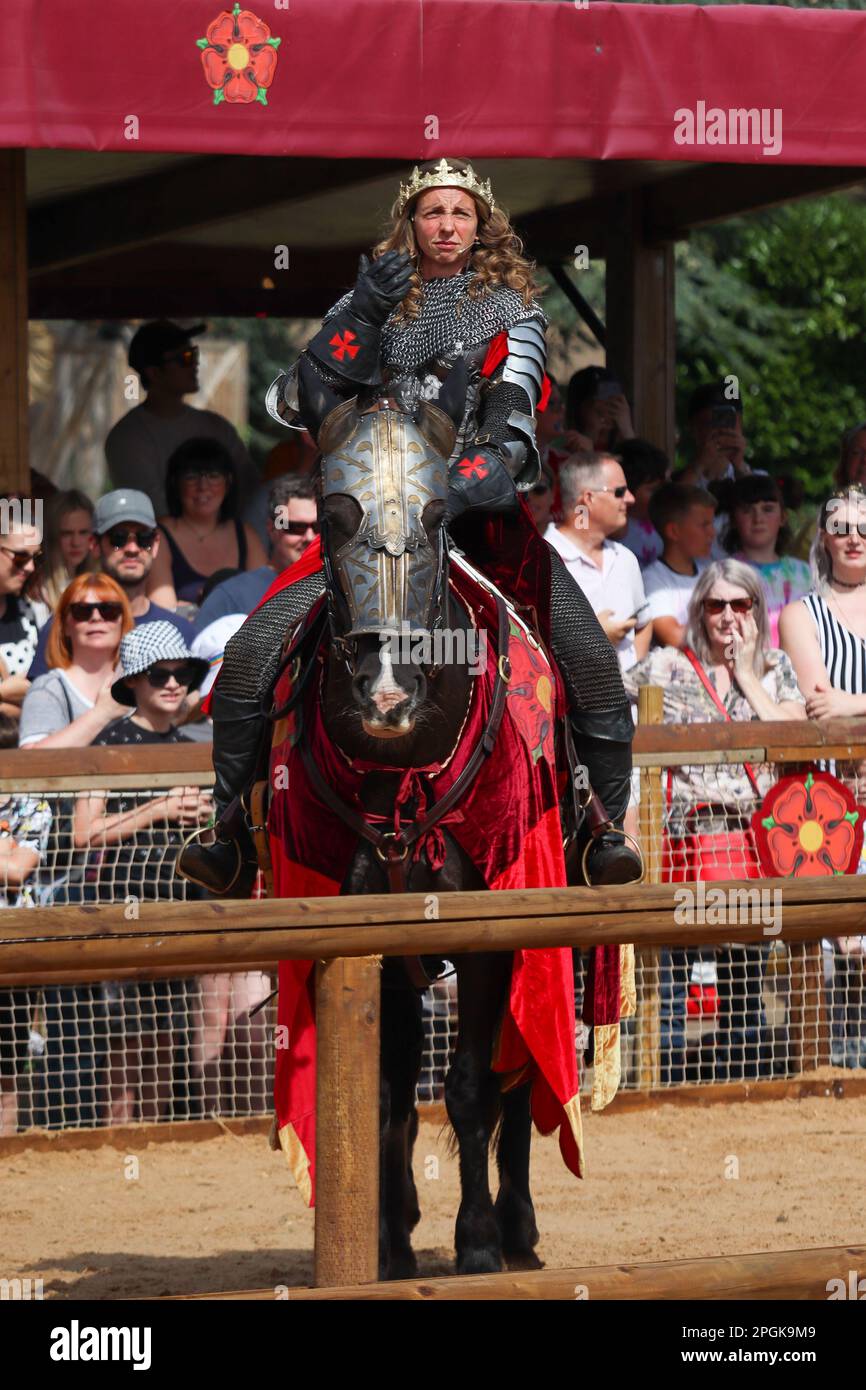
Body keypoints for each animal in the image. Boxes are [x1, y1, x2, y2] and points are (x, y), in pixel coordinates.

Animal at [271, 357, 554, 1279]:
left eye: (436, 516)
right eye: (332, 517)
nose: (387, 690)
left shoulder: (494, 929)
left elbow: (471, 1090)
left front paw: (478, 1241)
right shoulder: (366, 936)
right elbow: (386, 1095)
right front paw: (390, 1242)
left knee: (516, 1078)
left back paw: (518, 1228)